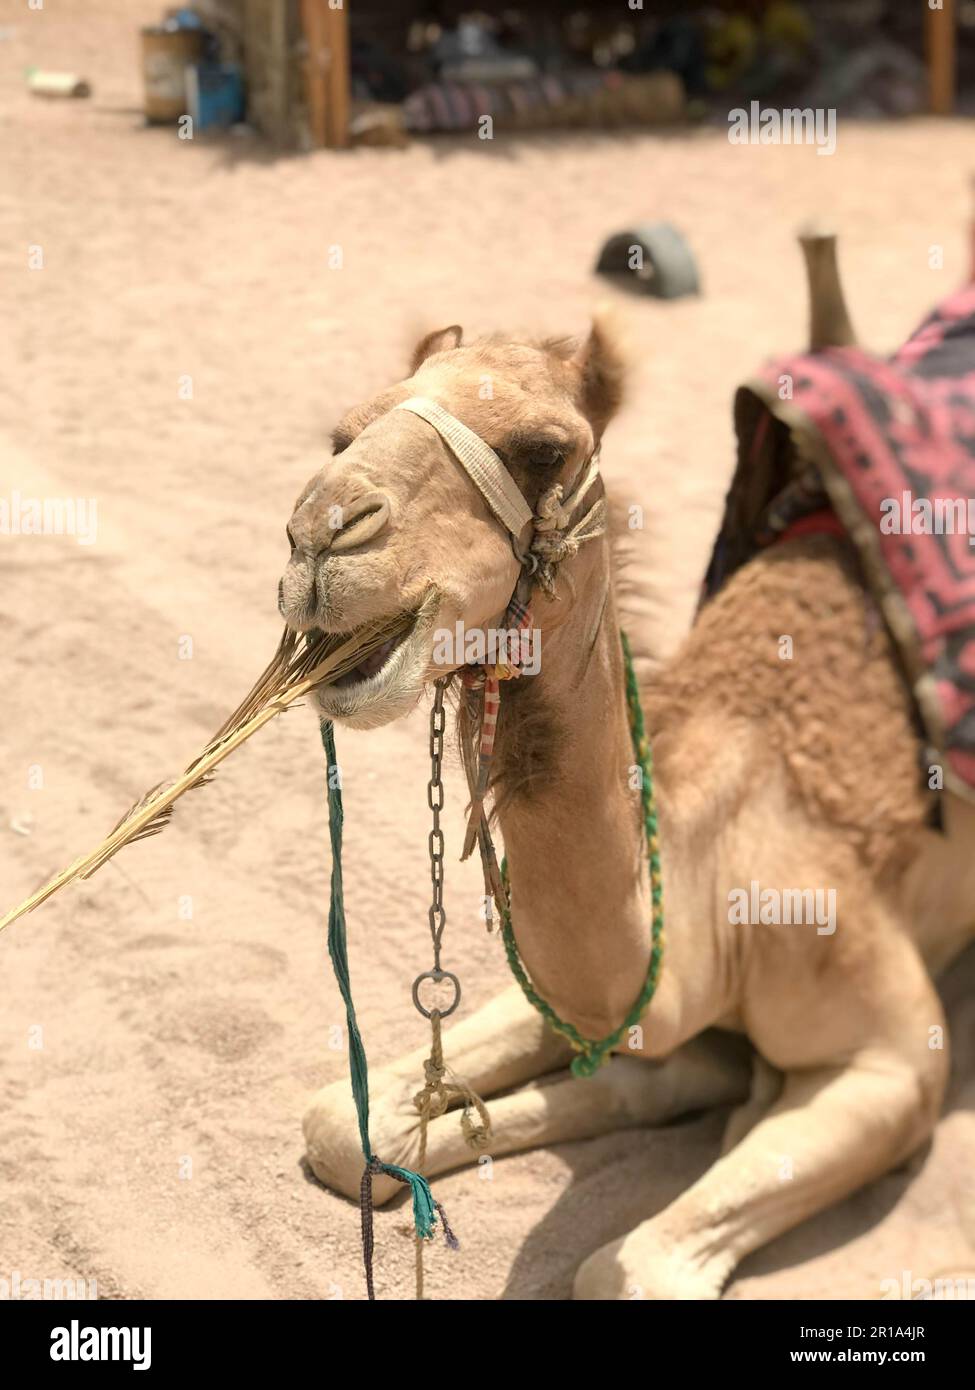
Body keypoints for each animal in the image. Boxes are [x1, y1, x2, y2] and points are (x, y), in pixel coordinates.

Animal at [281, 243, 975, 1300]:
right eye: (343, 431)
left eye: (544, 448)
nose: (322, 533)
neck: (708, 866)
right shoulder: (607, 999)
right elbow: (340, 1125)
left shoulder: (895, 1060)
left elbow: (629, 1264)